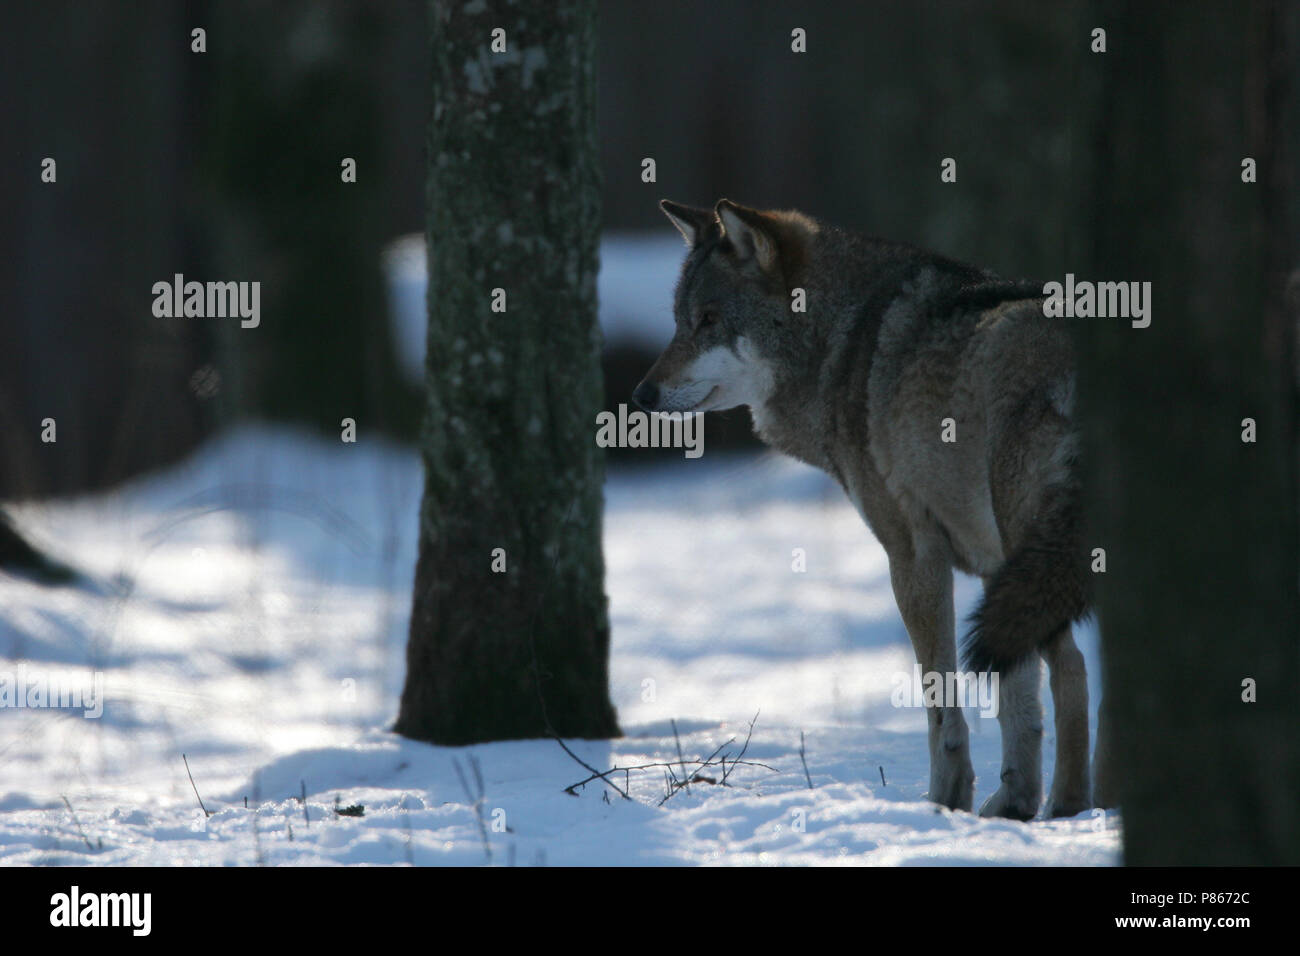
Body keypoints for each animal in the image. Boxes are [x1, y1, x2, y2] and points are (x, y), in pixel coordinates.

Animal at [634, 198, 1105, 818]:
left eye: (709, 320)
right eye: (678, 320)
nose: (640, 396)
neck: (841, 339)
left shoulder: (913, 555)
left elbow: (941, 704)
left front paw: (946, 801)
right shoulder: (989, 572)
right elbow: (1015, 701)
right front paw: (1012, 803)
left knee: (1073, 669)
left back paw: (1070, 805)